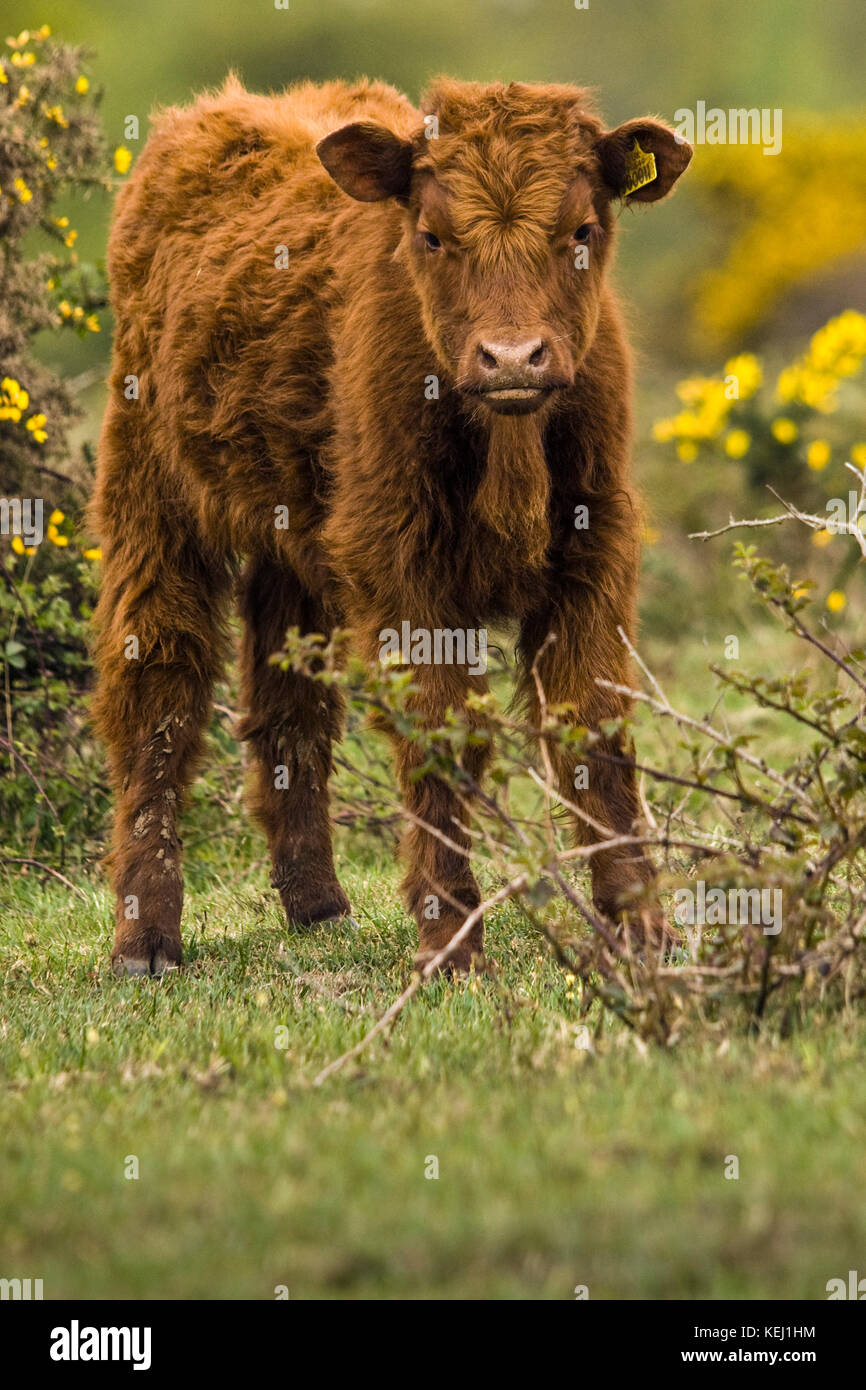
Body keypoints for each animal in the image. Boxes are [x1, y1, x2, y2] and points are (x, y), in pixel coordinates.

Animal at [91, 75, 691, 976]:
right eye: (434, 237)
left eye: (583, 231)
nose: (512, 358)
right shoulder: (404, 569)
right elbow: (440, 731)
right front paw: (453, 943)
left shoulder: (595, 550)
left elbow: (591, 728)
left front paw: (641, 930)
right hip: (151, 499)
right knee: (159, 696)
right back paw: (146, 937)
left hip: (295, 541)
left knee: (288, 710)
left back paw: (318, 906)